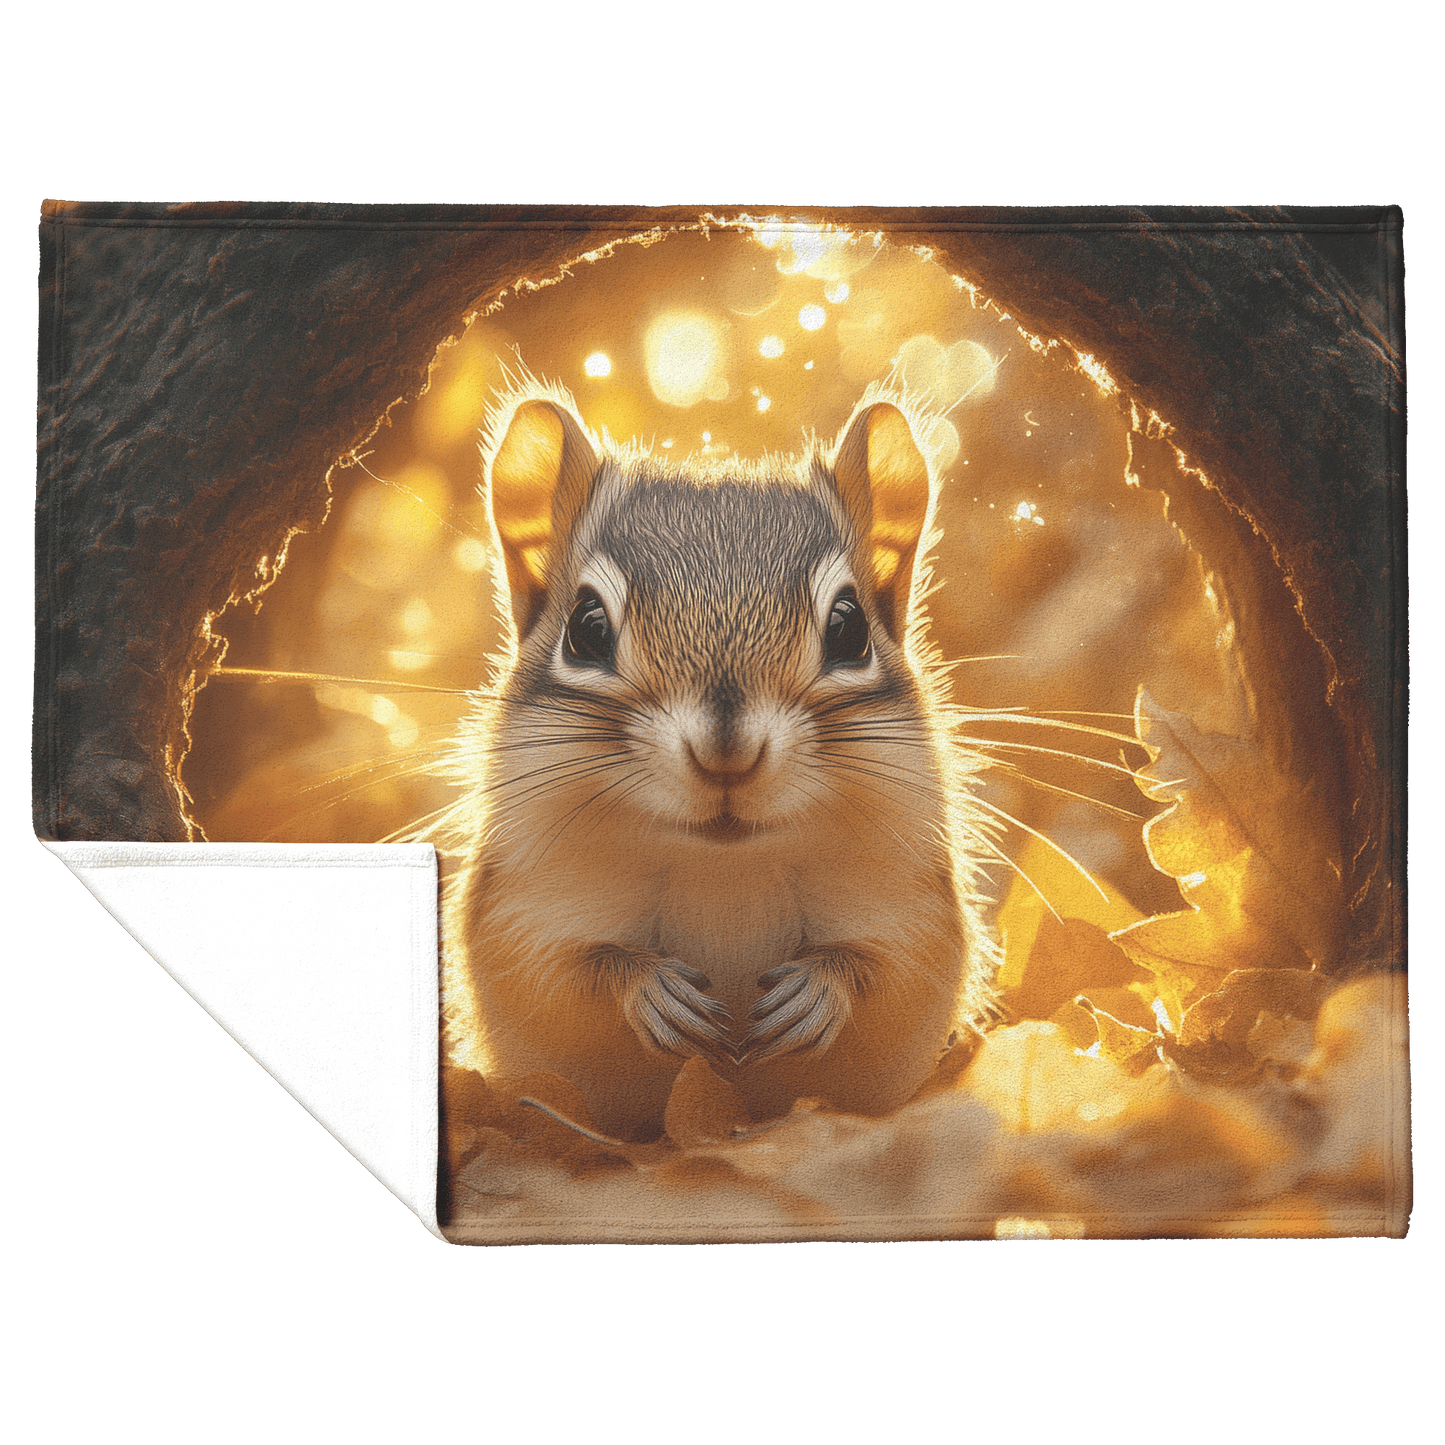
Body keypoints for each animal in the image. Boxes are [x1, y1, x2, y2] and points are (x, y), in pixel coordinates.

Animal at [440, 381, 1001, 1139]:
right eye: (586, 628)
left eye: (849, 626)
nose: (726, 752)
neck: (723, 866)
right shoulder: (519, 911)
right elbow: (557, 972)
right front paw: (649, 989)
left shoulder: (912, 904)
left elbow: (893, 968)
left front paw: (819, 989)